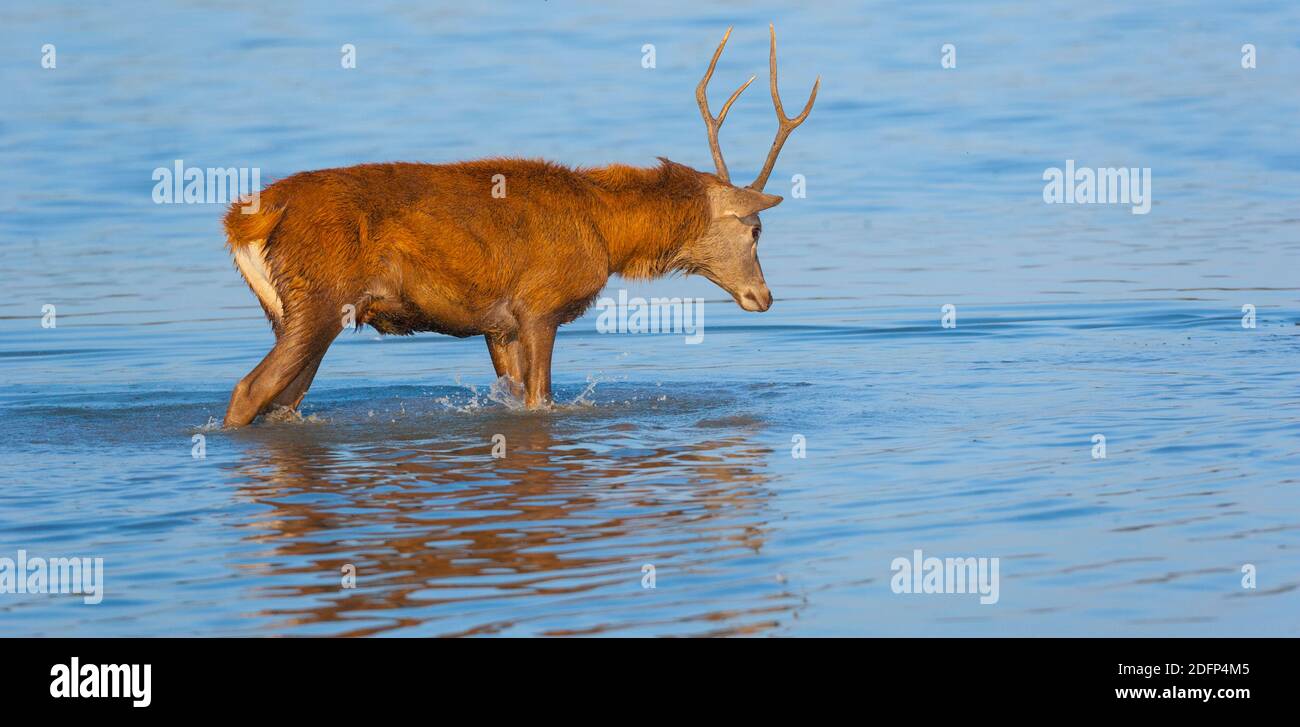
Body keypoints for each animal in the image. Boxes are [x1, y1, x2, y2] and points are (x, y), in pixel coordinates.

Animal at [221, 24, 817, 427]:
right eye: (756, 230)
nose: (764, 295)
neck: (610, 233)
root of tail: (242, 221)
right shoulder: (540, 305)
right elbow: (540, 399)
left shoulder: (499, 326)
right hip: (320, 297)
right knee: (249, 389)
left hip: (289, 310)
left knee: (280, 402)